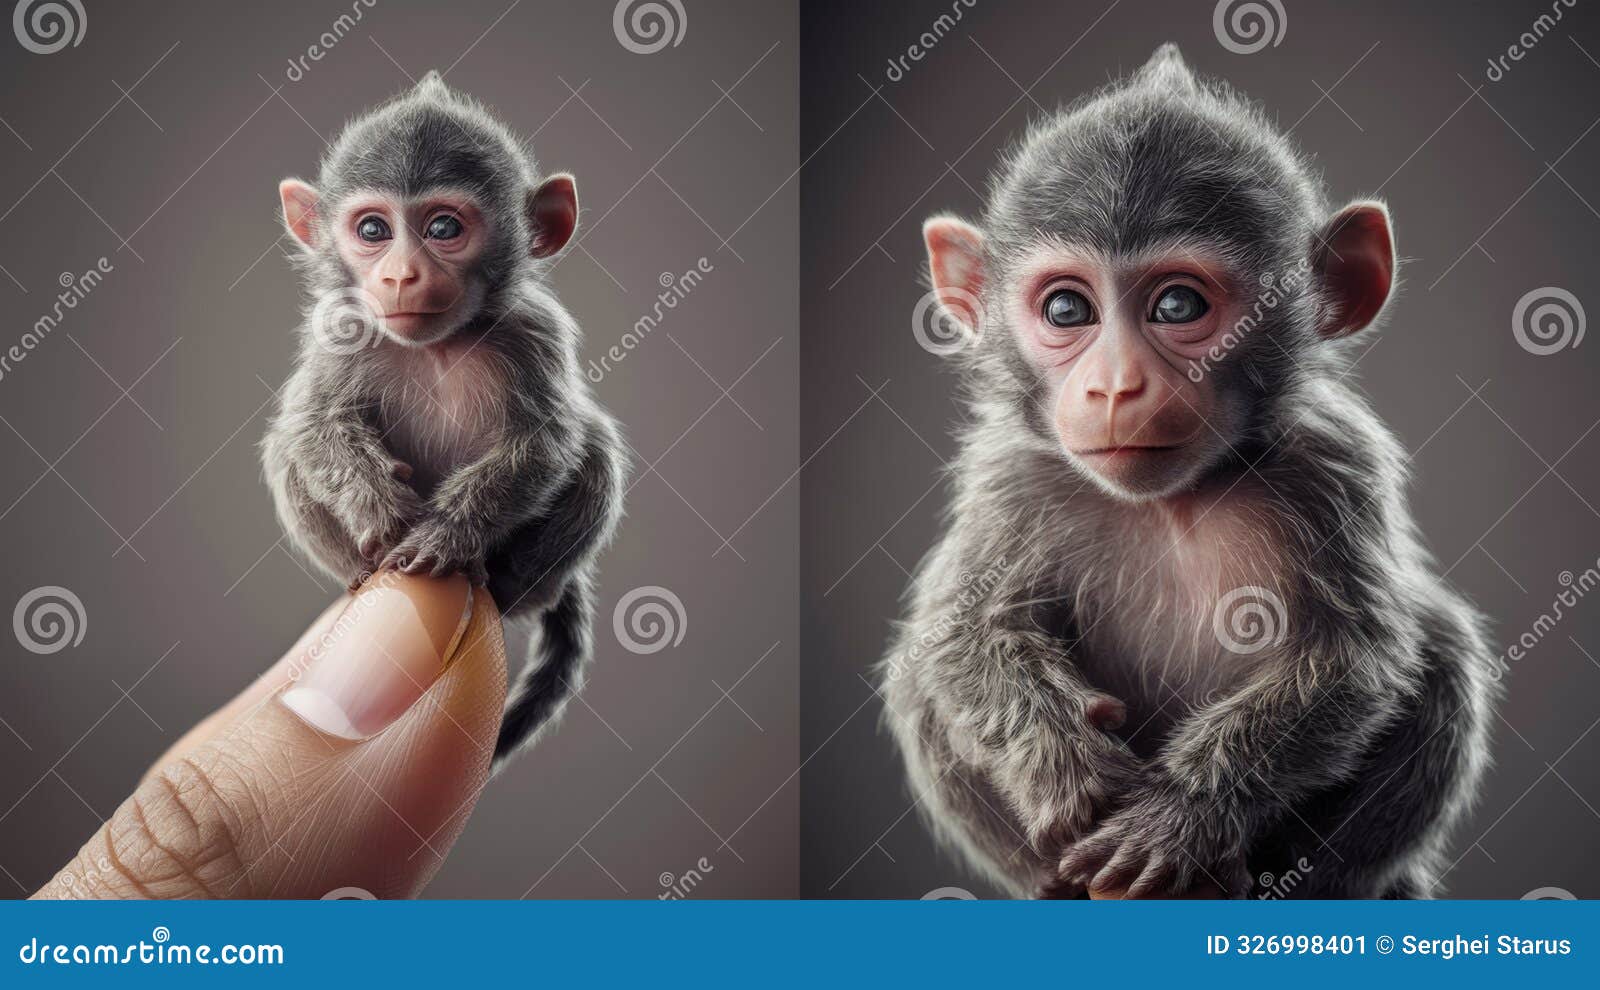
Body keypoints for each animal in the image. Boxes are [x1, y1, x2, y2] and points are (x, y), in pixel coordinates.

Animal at [260, 72, 625, 766]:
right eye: (373, 229)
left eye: (442, 226)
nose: (402, 275)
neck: (438, 345)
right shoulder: (339, 327)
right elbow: (313, 425)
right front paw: (380, 508)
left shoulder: (533, 331)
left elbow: (546, 442)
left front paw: (450, 535)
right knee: (287, 454)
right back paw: (360, 573)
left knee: (592, 454)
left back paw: (494, 578)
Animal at [880, 45, 1499, 899]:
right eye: (1067, 311)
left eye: (1177, 306)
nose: (1115, 387)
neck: (1172, 501)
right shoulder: (1011, 475)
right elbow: (959, 631)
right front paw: (1065, 766)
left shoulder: (1333, 464)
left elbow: (1353, 655)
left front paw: (1182, 813)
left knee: (1439, 651)